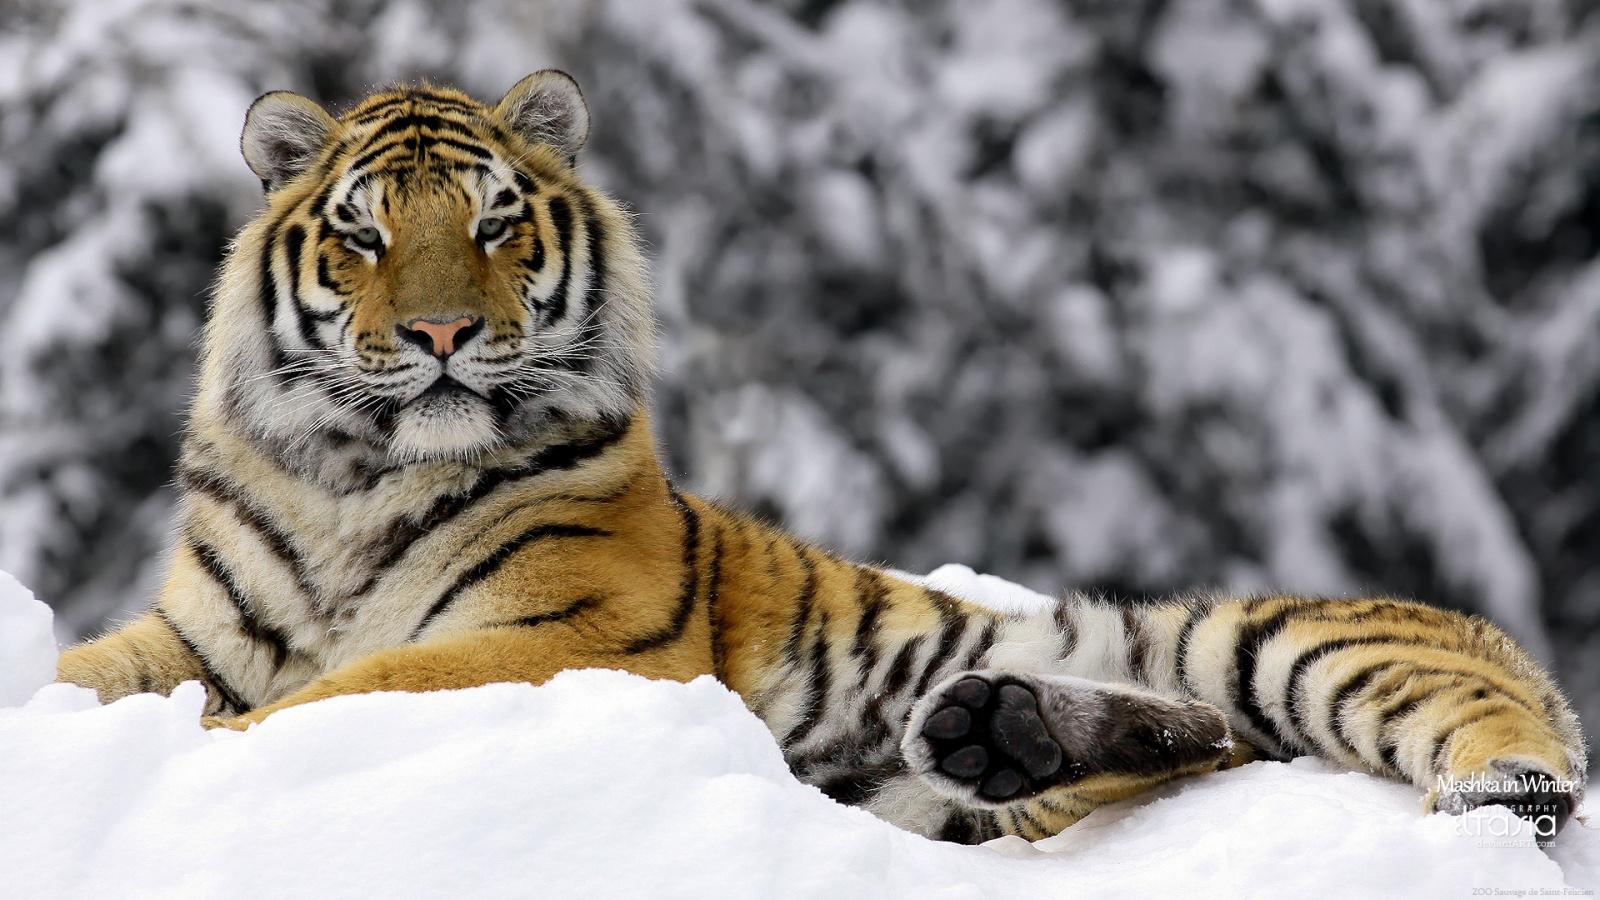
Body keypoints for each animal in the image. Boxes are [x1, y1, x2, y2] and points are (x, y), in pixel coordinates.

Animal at [55, 70, 1586, 847]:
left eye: (493, 223)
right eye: (364, 234)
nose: (439, 332)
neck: (353, 481)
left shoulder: (567, 631)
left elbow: (342, 696)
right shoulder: (199, 634)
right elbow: (90, 675)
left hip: (1270, 641)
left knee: (1449, 718)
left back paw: (1500, 787)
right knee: (1172, 750)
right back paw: (1006, 733)